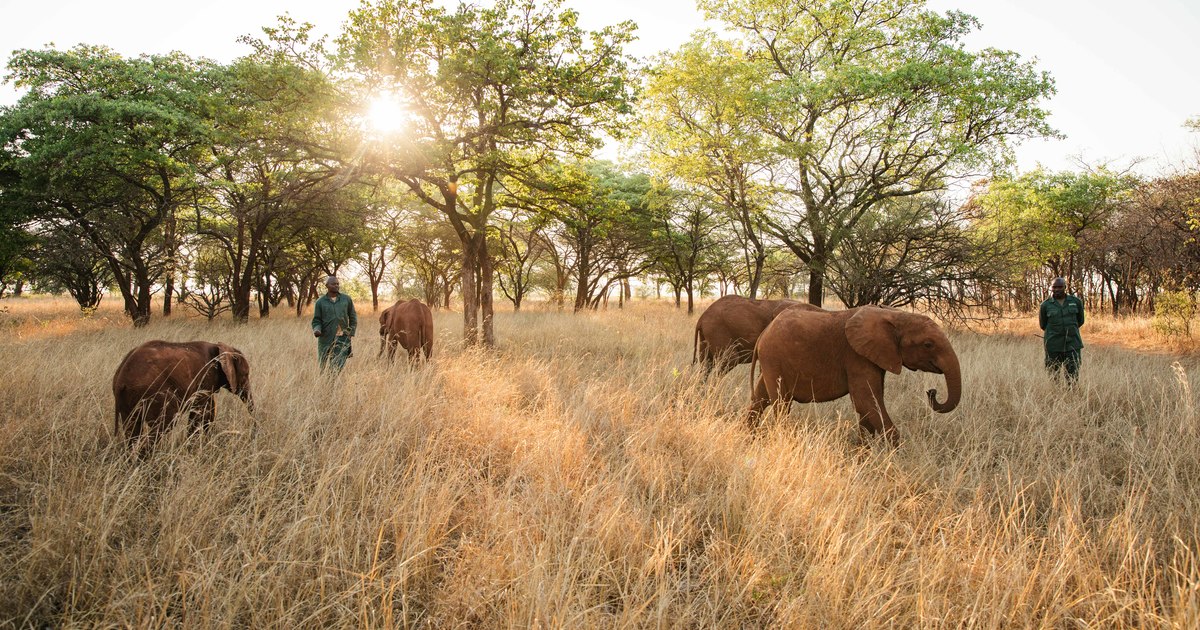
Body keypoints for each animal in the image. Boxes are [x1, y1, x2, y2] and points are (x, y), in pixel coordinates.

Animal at [112, 340, 253, 451]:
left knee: (132, 430)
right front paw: (192, 448)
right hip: (154, 394)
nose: (252, 429)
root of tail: (120, 379)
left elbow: (209, 411)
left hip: (129, 398)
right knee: (164, 423)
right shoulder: (205, 377)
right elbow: (201, 414)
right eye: (246, 375)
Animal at [748, 305, 961, 445]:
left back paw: (749, 436)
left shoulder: (873, 358)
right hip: (774, 359)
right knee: (781, 403)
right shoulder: (856, 357)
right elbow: (866, 401)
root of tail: (763, 334)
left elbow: (868, 404)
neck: (893, 314)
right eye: (928, 344)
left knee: (760, 398)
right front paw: (894, 457)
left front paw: (863, 453)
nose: (931, 391)